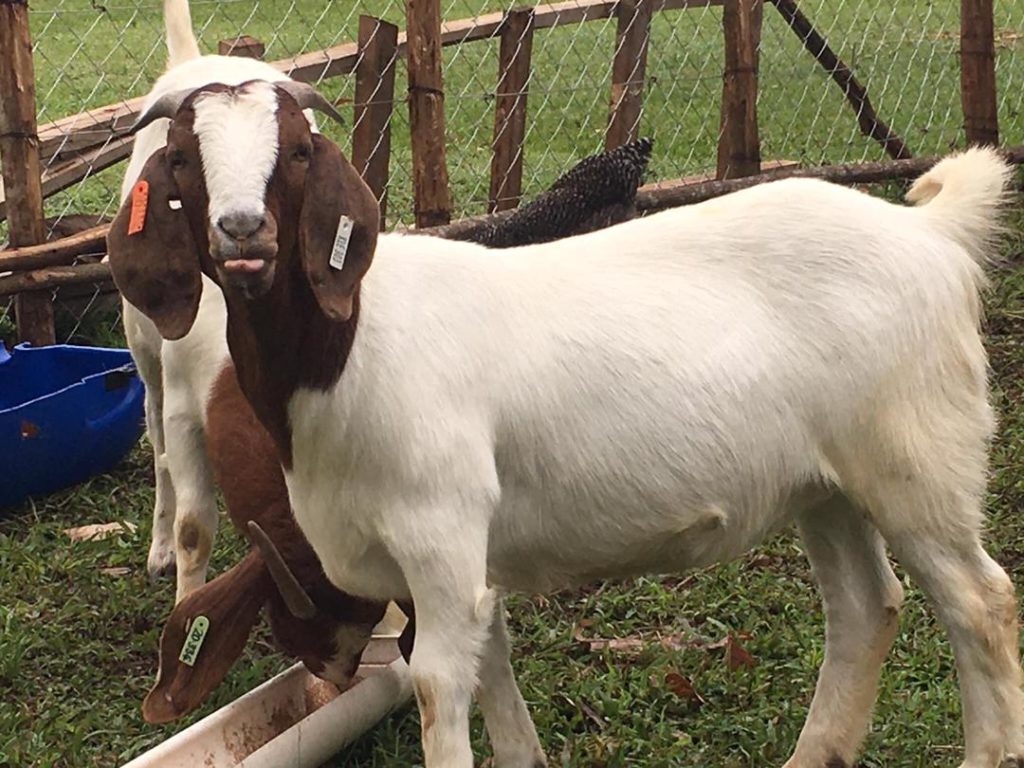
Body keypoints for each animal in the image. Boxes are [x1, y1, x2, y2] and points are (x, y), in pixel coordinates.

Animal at [108, 77, 1022, 768]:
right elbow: (490, 664)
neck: (349, 350)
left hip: (914, 457)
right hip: (824, 483)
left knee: (980, 601)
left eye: (298, 152)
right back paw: (814, 754)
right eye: (182, 160)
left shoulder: (440, 534)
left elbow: (439, 684)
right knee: (867, 608)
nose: (243, 234)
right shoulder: (456, 560)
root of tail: (928, 228)